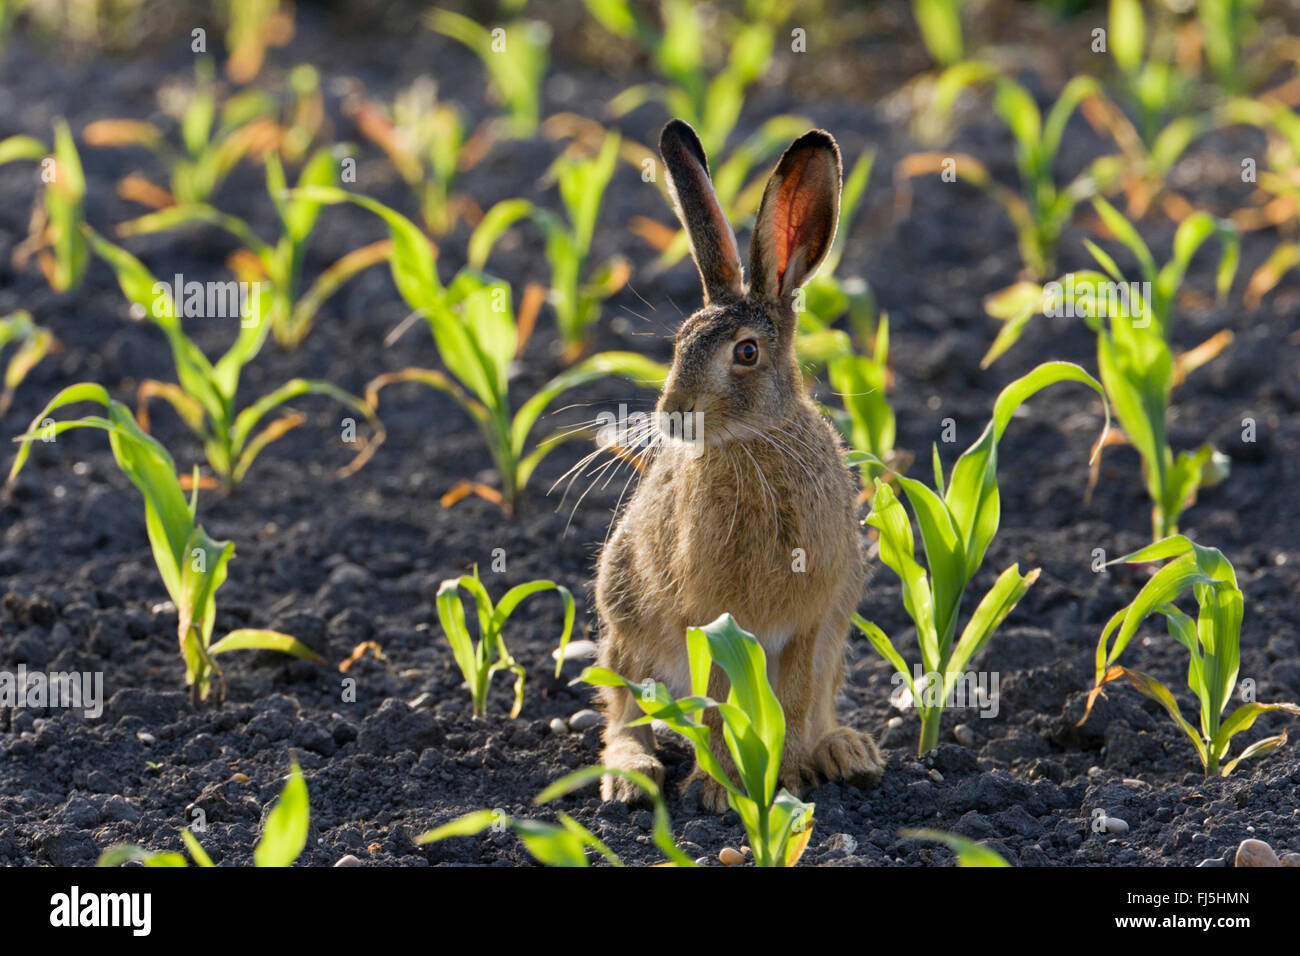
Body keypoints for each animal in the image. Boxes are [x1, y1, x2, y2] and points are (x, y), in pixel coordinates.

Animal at [593, 119, 883, 812]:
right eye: (677, 346)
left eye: (745, 353)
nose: (673, 415)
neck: (755, 443)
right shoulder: (713, 625)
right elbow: (719, 704)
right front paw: (724, 790)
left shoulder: (810, 623)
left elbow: (796, 700)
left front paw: (794, 774)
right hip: (625, 618)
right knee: (623, 709)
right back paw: (631, 776)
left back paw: (844, 751)